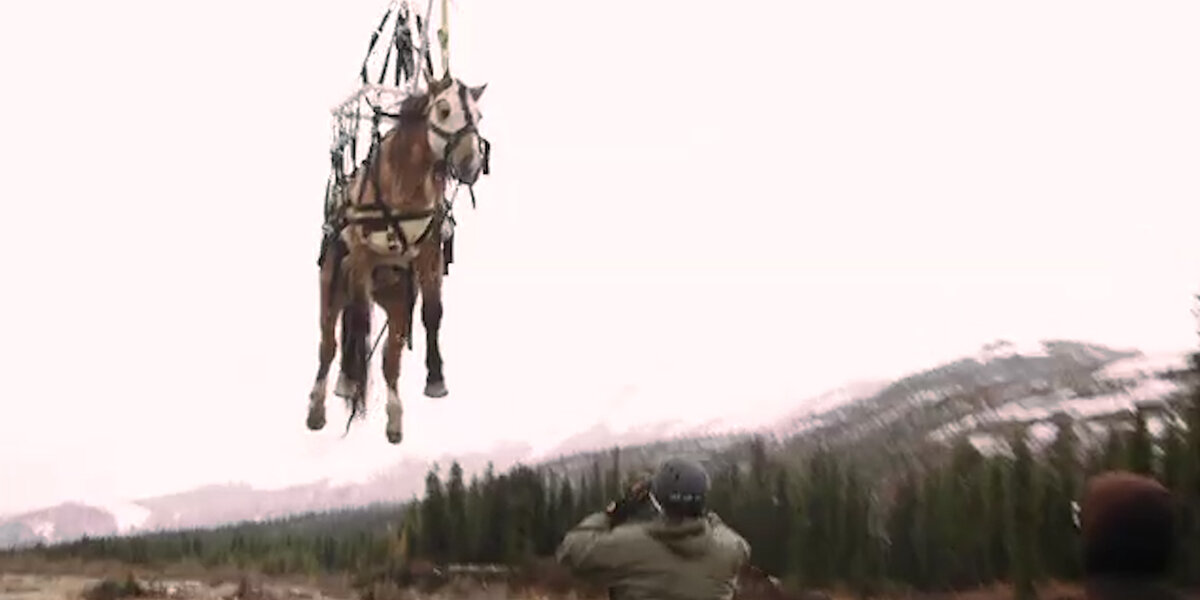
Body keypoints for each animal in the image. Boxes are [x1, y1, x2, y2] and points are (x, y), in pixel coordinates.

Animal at [308, 76, 487, 444]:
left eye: (478, 115)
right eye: (443, 109)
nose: (471, 164)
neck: (403, 184)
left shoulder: (429, 253)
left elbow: (432, 313)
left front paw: (436, 379)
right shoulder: (361, 256)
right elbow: (359, 322)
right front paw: (352, 384)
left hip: (396, 296)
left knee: (389, 354)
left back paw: (392, 413)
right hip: (332, 283)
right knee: (329, 341)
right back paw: (322, 402)